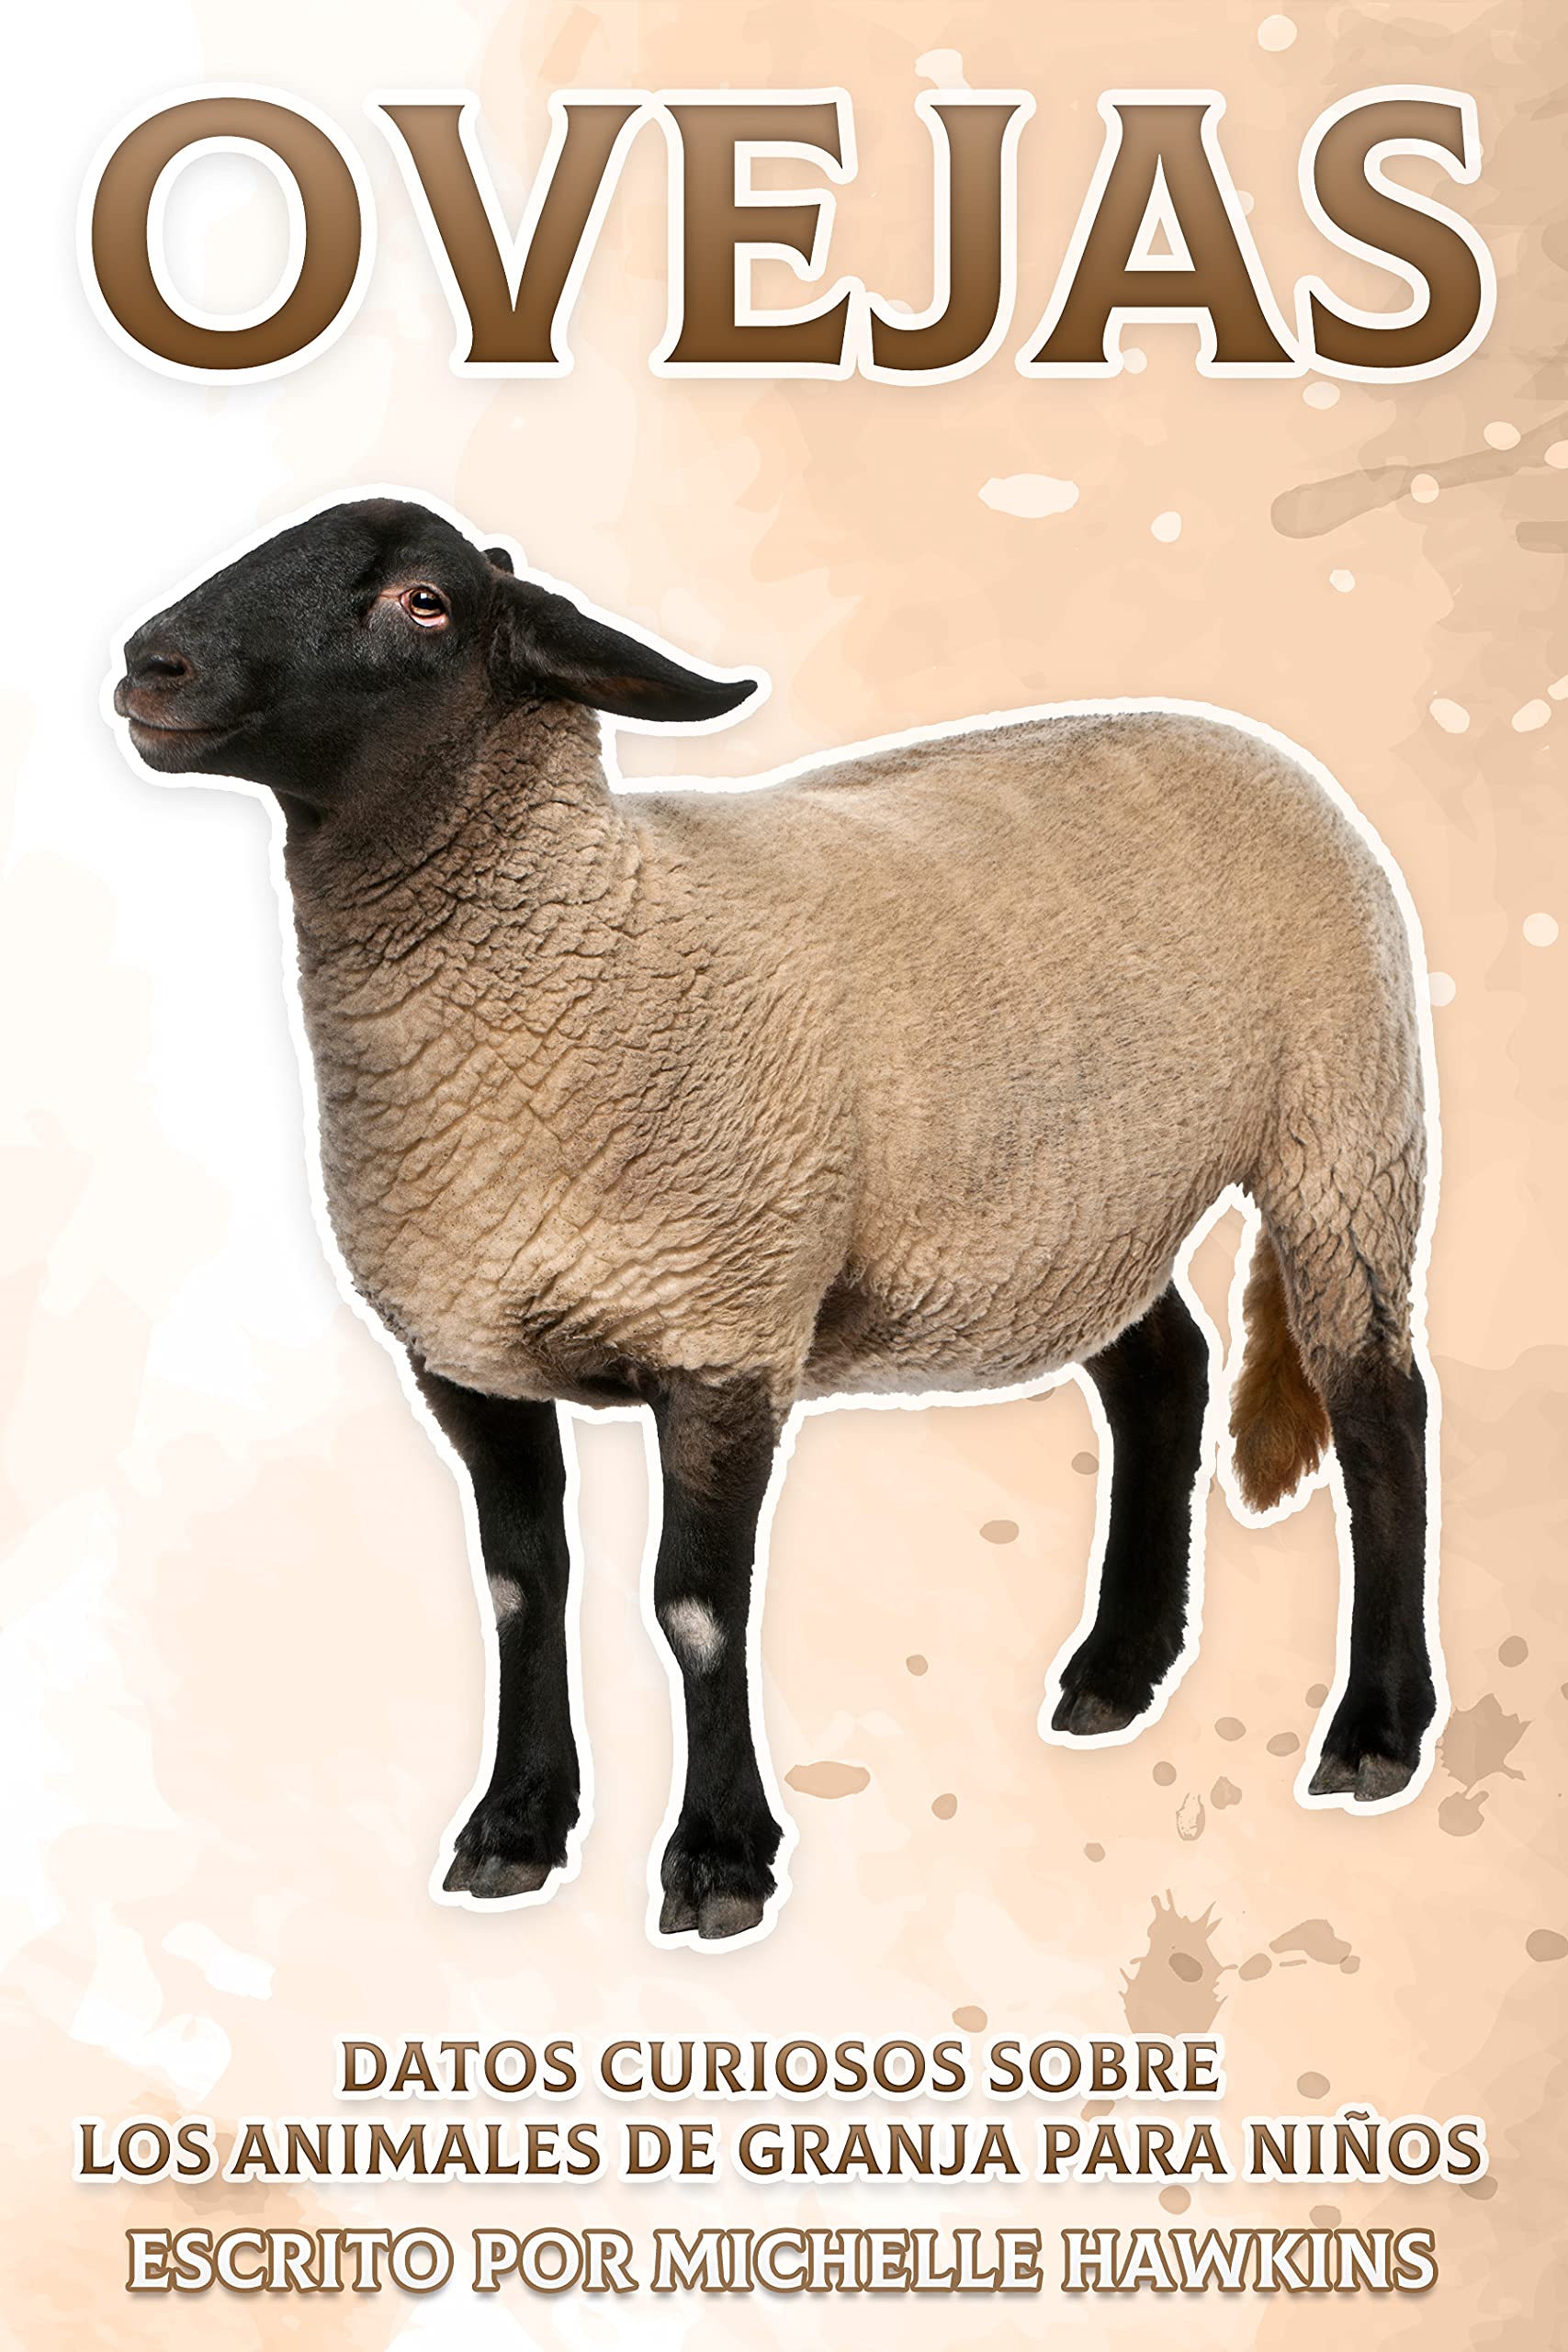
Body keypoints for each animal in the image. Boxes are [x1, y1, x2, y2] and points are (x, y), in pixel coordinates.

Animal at [111, 494, 1440, 1943]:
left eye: (424, 602)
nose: (149, 666)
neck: (592, 939)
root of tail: (1243, 736)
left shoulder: (725, 1330)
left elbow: (694, 1608)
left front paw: (718, 1859)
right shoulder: (466, 1351)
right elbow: (523, 1589)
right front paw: (514, 1826)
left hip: (1343, 1134)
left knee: (1380, 1413)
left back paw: (1376, 1730)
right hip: (1082, 1204)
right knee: (1163, 1376)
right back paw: (1115, 1671)